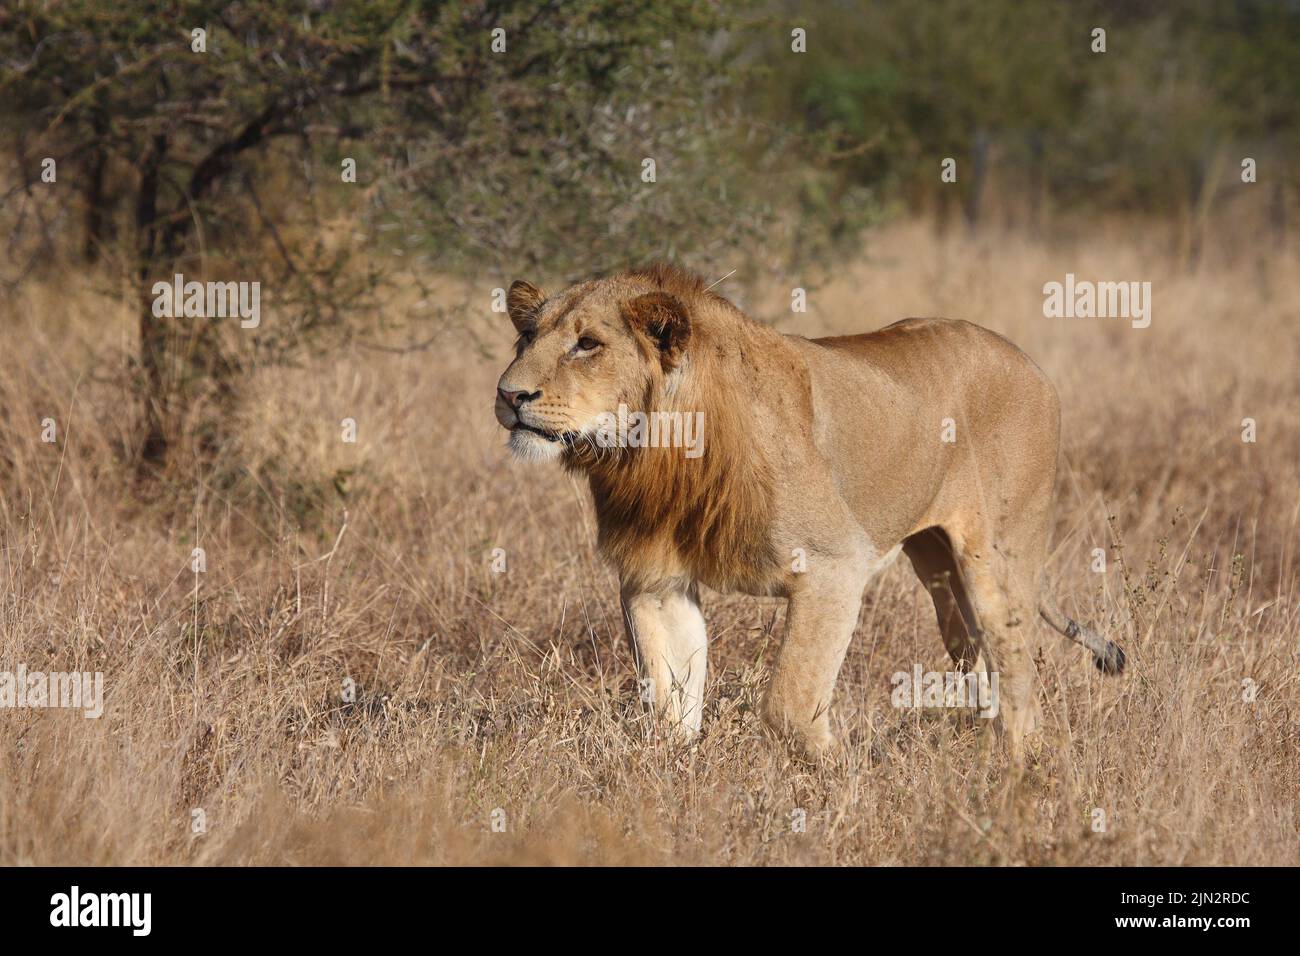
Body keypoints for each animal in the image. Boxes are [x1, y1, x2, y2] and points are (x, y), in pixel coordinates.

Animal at [494, 263, 1124, 761]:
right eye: (525, 338)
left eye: (588, 344)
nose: (508, 395)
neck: (658, 455)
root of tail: (1030, 363)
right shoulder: (655, 581)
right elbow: (670, 708)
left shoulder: (834, 565)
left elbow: (789, 706)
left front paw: (845, 780)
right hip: (941, 572)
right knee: (983, 667)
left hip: (998, 561)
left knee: (1021, 682)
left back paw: (1017, 776)